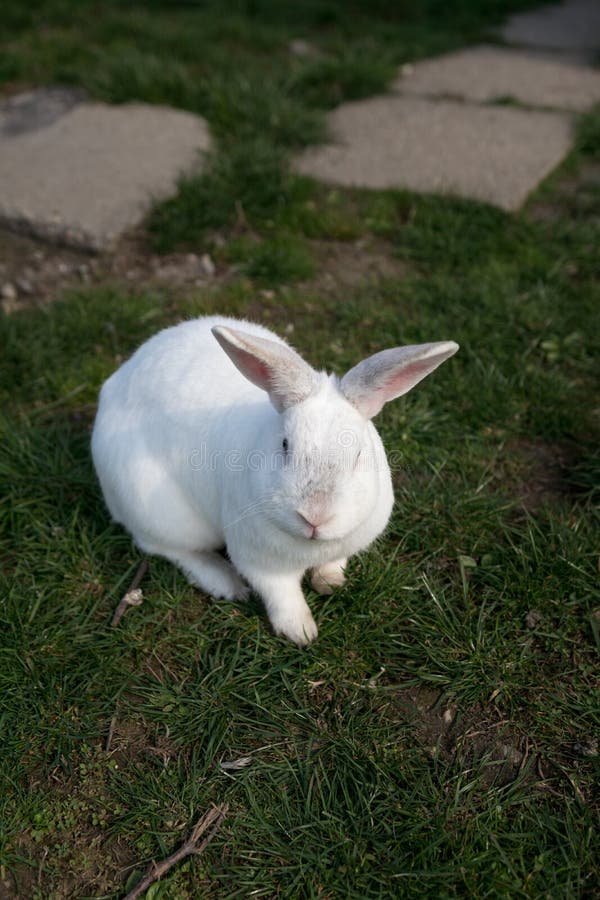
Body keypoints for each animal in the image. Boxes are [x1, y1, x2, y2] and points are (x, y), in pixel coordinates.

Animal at [91, 316, 458, 646]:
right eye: (284, 445)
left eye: (357, 455)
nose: (314, 517)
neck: (312, 546)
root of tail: (114, 387)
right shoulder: (261, 563)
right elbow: (282, 596)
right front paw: (301, 633)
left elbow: (332, 565)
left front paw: (331, 583)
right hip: (161, 513)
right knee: (169, 549)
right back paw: (225, 582)